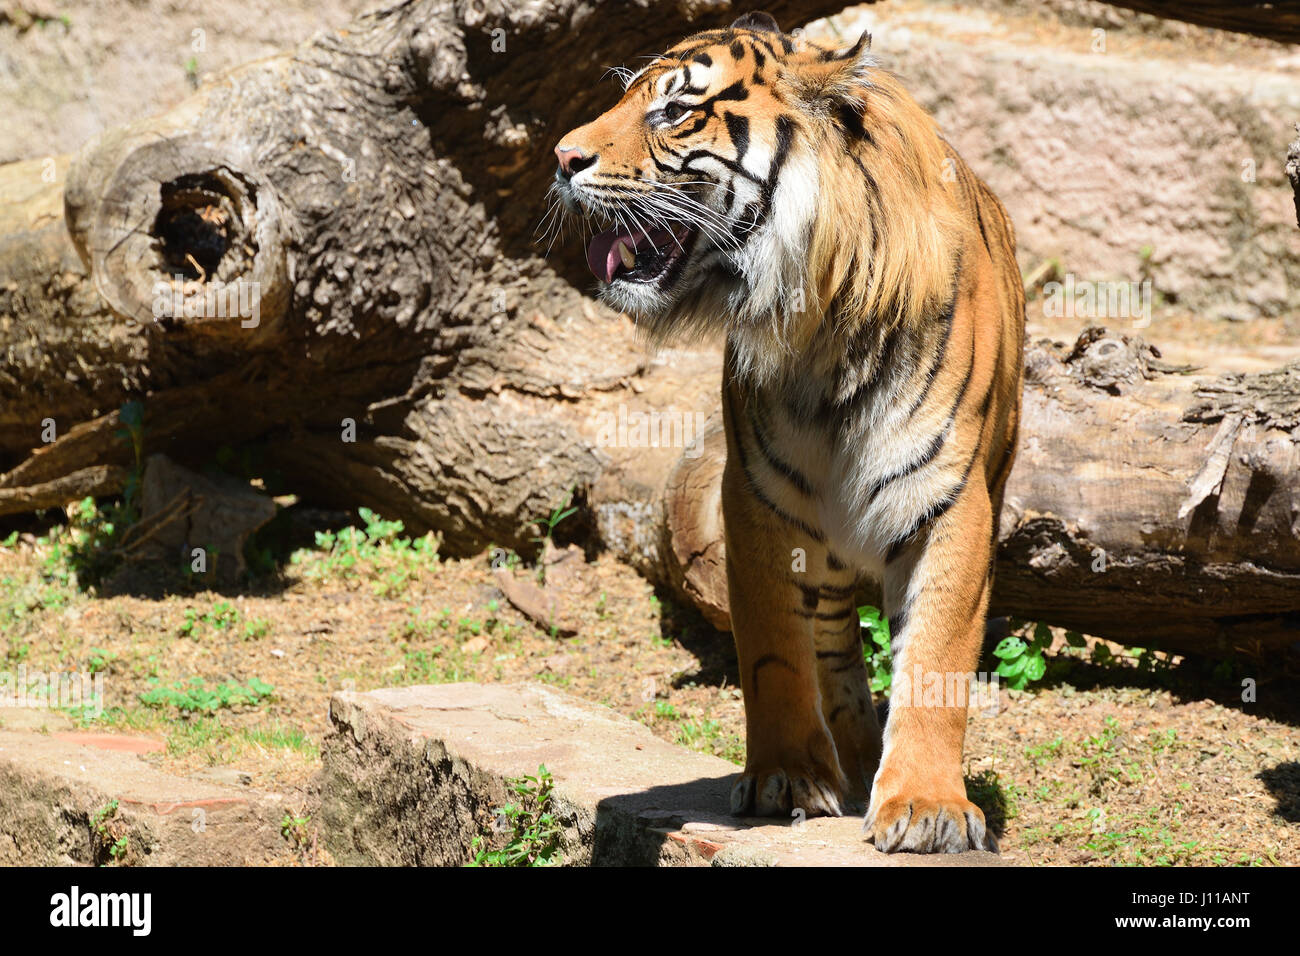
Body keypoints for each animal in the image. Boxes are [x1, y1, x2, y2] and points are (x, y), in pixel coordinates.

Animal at [551, 11, 1024, 854]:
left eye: (674, 111)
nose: (562, 158)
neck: (817, 321)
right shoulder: (756, 500)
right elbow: (774, 653)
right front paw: (787, 779)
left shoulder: (952, 503)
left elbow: (937, 657)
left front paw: (926, 805)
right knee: (831, 642)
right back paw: (852, 755)